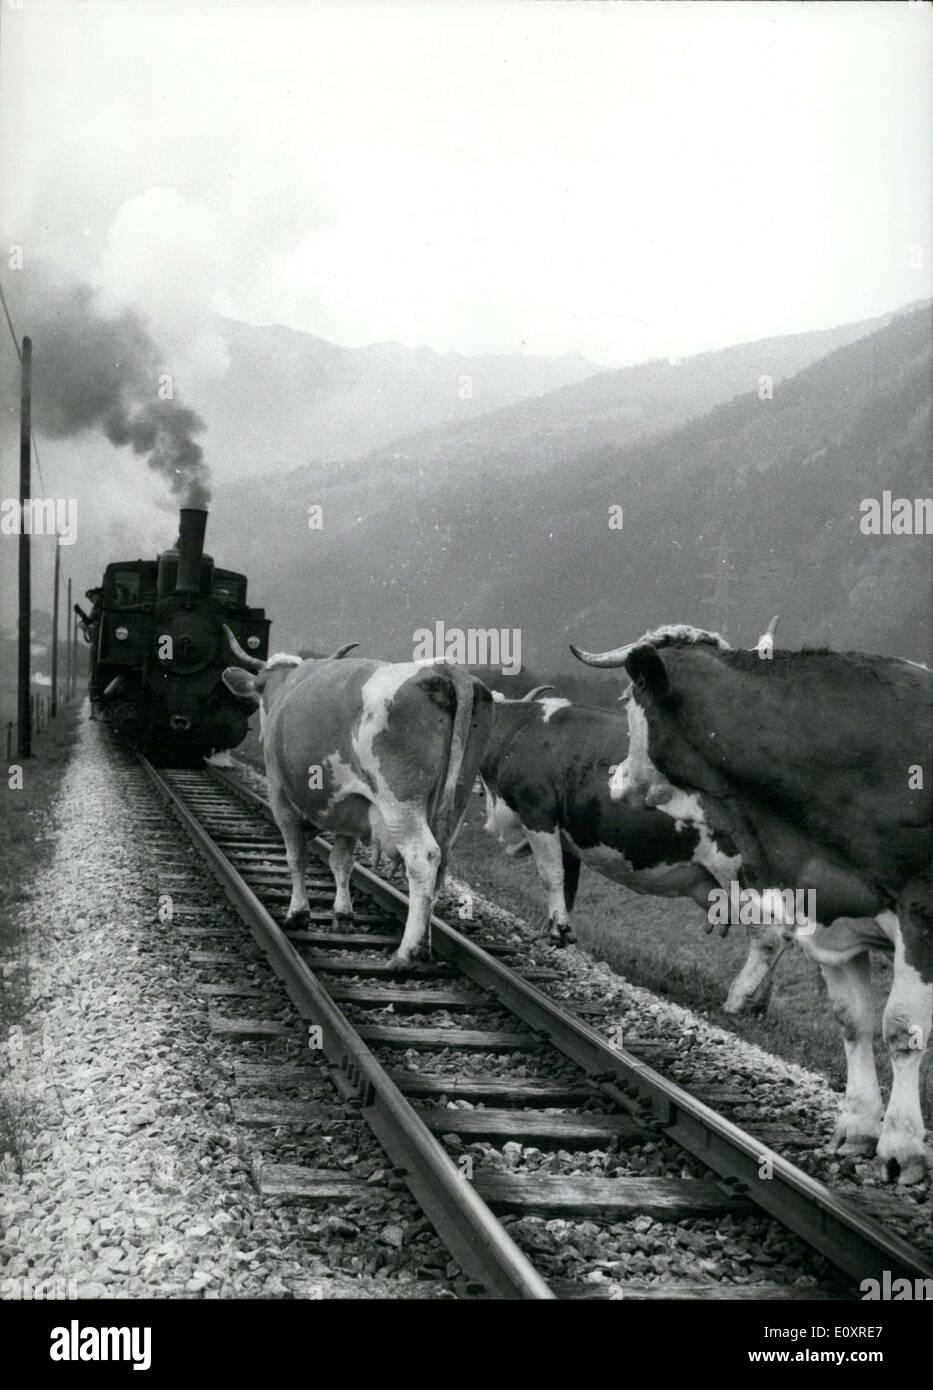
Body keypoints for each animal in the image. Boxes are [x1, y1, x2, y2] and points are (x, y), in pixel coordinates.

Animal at [221, 629, 493, 969]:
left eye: (258, 689)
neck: (286, 686)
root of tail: (446, 670)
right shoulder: (349, 809)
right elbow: (341, 862)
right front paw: (343, 914)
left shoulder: (279, 797)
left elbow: (297, 856)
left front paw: (298, 912)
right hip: (458, 800)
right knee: (440, 862)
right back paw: (426, 942)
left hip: (400, 803)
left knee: (424, 857)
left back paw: (407, 952)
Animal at [571, 624, 933, 1183]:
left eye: (629, 699)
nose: (613, 778)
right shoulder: (830, 916)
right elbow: (853, 1021)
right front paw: (856, 1129)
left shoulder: (922, 917)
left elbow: (901, 1028)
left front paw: (900, 1148)